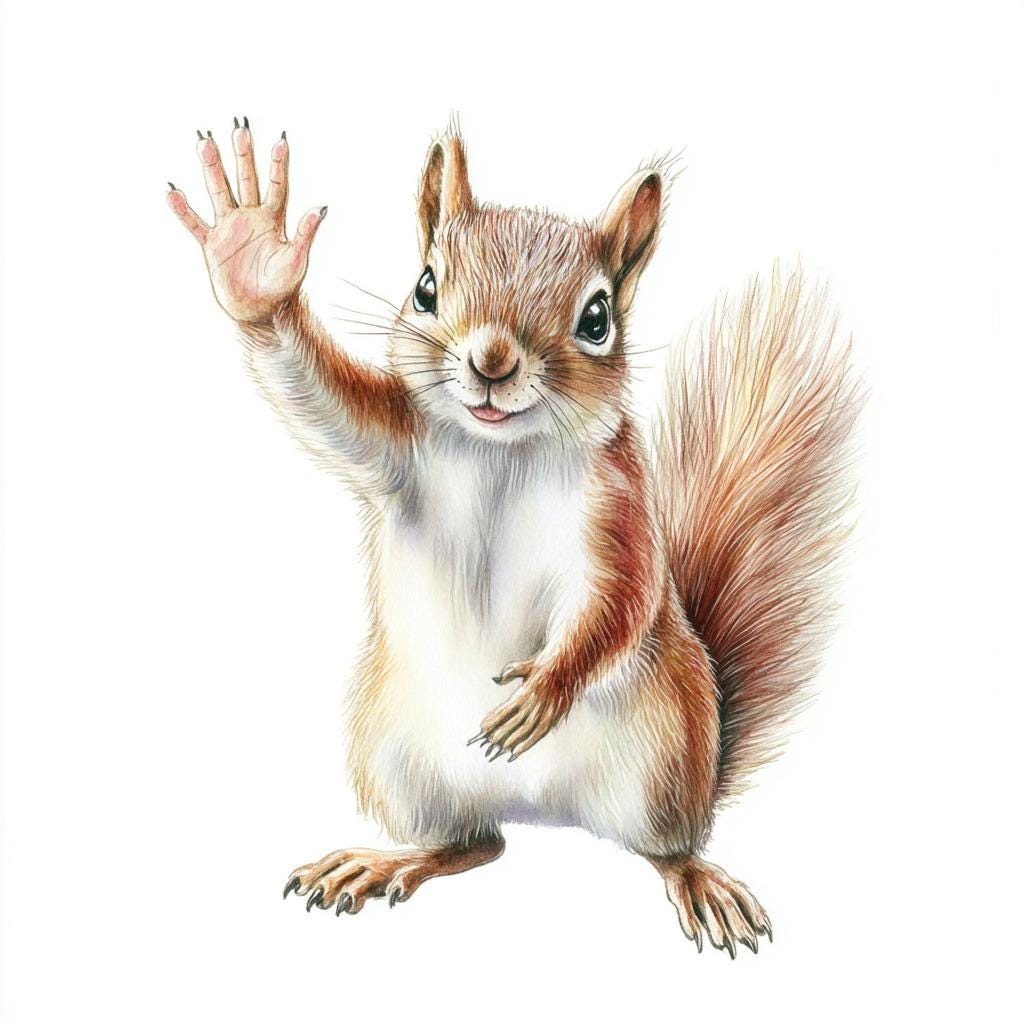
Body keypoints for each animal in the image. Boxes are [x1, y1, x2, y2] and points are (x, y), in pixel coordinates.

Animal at [167, 118, 861, 957]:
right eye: (426, 287)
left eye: (597, 319)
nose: (492, 360)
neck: (502, 450)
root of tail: (544, 810)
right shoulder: (394, 443)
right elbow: (323, 399)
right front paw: (255, 268)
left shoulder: (621, 508)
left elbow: (626, 599)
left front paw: (544, 690)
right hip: (401, 762)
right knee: (474, 843)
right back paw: (388, 861)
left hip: (664, 760)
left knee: (659, 848)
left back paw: (696, 878)